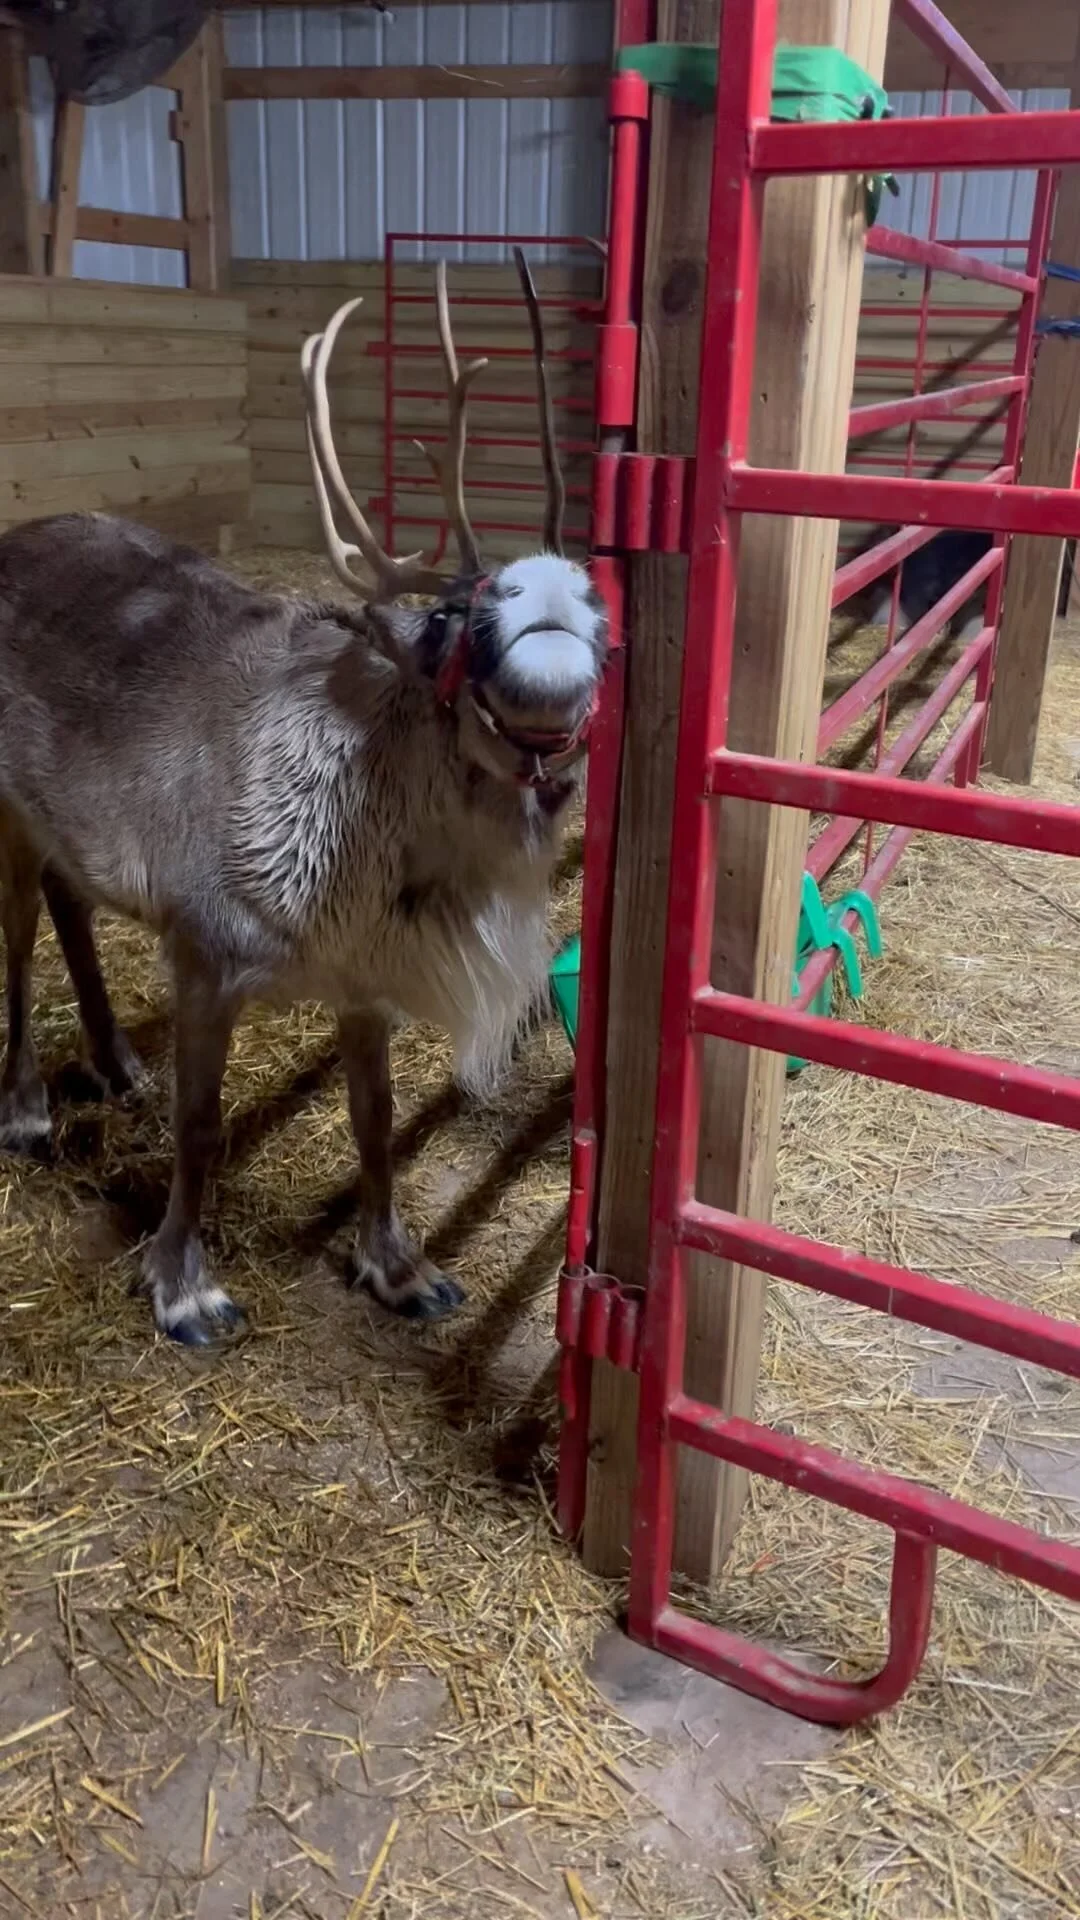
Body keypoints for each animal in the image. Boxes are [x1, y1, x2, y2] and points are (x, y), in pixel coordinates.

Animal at [0, 249, 607, 1345]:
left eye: (599, 600)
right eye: (452, 616)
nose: (542, 595)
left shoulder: (365, 984)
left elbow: (375, 1122)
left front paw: (401, 1268)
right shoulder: (205, 949)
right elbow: (202, 1126)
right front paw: (183, 1284)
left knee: (72, 899)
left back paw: (117, 1063)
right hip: (10, 807)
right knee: (21, 930)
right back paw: (26, 1106)